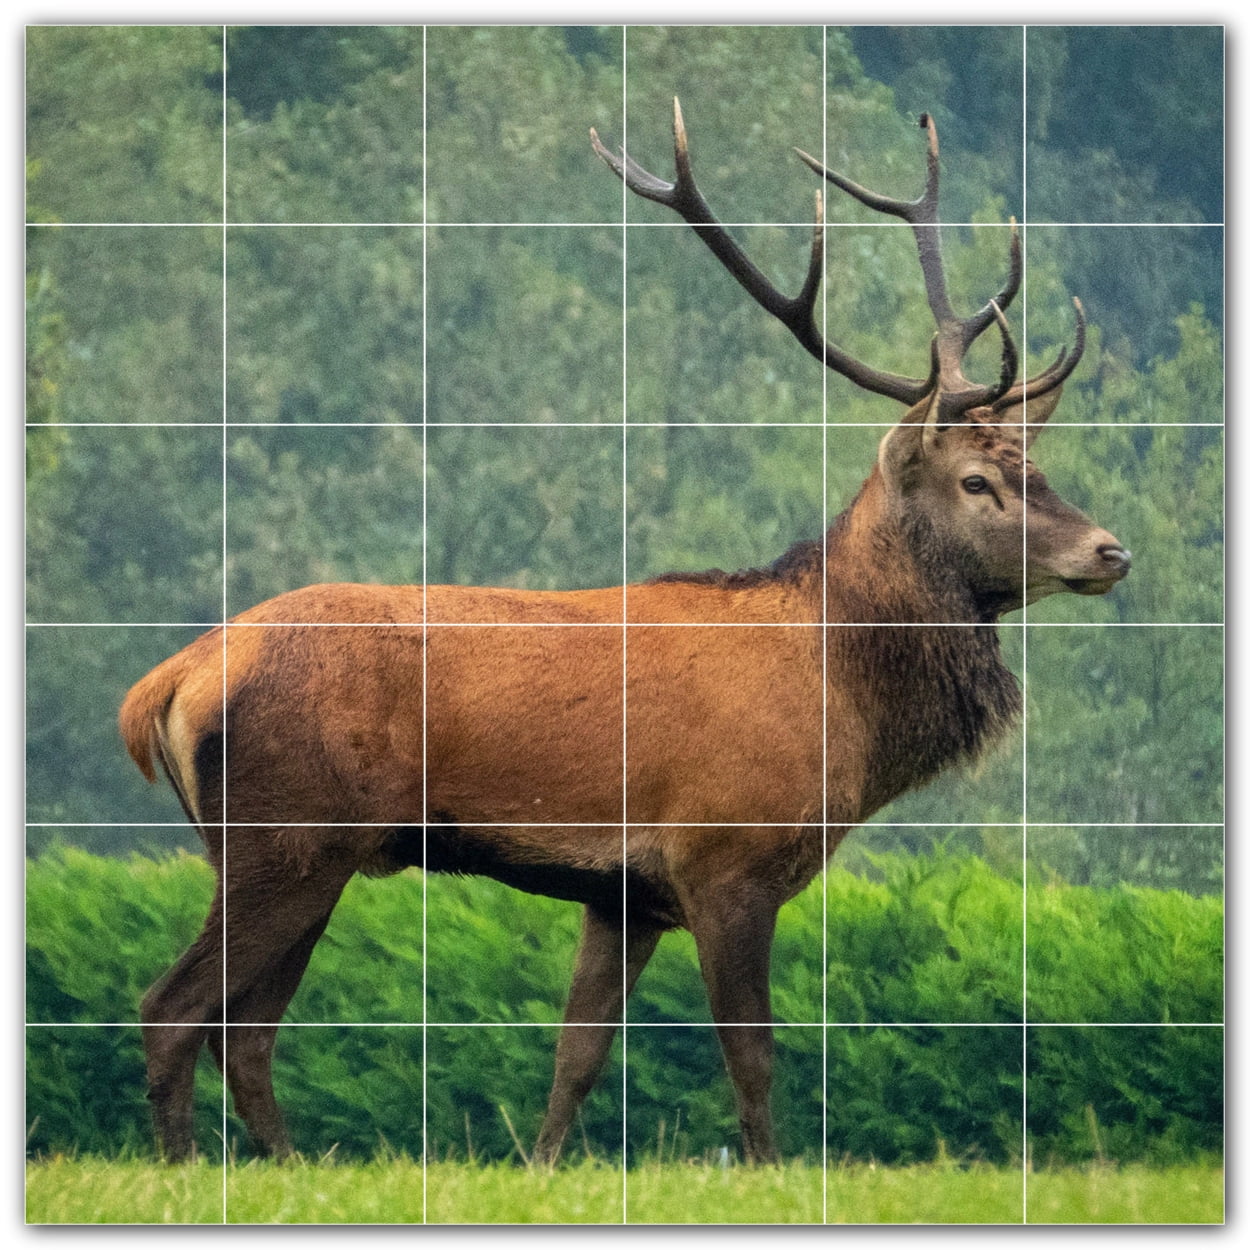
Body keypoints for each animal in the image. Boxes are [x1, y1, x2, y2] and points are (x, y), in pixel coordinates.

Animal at [119, 101, 1129, 1166]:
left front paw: (540, 1165)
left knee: (246, 1029)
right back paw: (188, 1167)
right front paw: (770, 1173)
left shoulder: (622, 892)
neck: (841, 700)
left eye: (1037, 467)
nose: (1109, 550)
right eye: (976, 481)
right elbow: (751, 1054)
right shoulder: (726, 859)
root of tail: (171, 682)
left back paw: (288, 1165)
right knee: (174, 1007)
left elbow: (580, 1050)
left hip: (300, 850)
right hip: (287, 835)